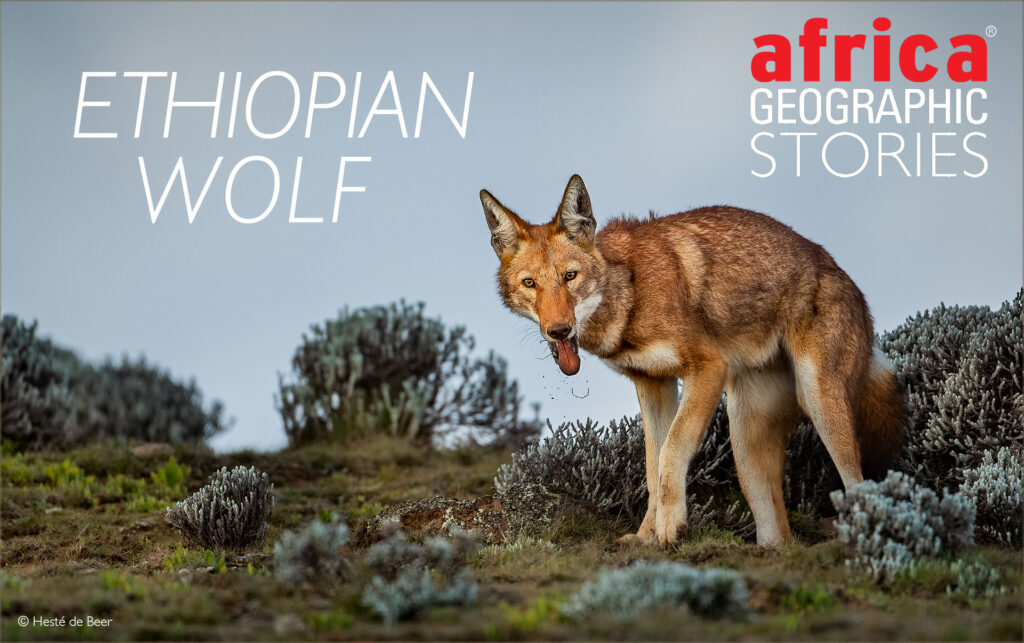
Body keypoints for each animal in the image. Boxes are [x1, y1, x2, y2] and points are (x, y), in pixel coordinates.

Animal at [479, 175, 906, 548]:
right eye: (530, 284)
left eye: (570, 277)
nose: (559, 330)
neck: (629, 291)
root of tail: (842, 274)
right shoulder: (653, 384)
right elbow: (653, 468)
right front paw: (646, 537)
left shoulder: (708, 368)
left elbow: (672, 453)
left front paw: (670, 527)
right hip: (745, 443)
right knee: (779, 534)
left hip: (819, 404)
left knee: (858, 484)